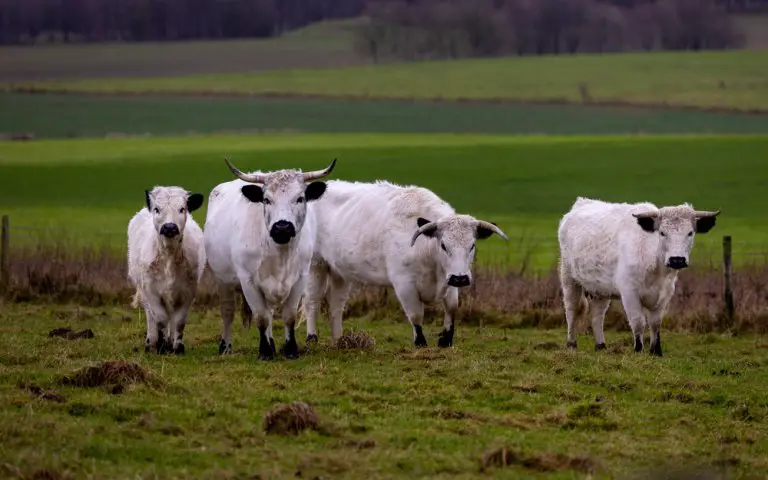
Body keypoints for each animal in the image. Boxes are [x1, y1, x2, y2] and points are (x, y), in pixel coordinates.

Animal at [127, 186, 206, 354]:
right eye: (157, 209)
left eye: (182, 209)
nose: (169, 227)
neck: (169, 255)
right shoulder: (151, 291)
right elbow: (160, 318)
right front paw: (161, 346)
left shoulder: (188, 292)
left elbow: (179, 321)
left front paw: (177, 347)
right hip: (143, 290)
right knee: (151, 316)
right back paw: (151, 343)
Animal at [204, 157, 336, 360]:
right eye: (266, 200)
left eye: (300, 198)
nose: (282, 227)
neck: (279, 255)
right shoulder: (248, 281)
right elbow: (261, 317)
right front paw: (265, 352)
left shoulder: (300, 278)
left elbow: (288, 315)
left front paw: (290, 350)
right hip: (222, 280)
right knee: (228, 312)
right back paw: (225, 347)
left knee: (270, 311)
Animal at [302, 180, 508, 349]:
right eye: (443, 245)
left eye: (472, 245)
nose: (461, 278)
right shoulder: (404, 284)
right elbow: (416, 314)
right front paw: (420, 343)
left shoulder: (449, 280)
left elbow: (452, 308)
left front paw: (446, 340)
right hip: (315, 266)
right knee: (312, 301)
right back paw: (312, 338)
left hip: (340, 272)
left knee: (336, 305)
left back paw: (339, 340)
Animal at [557, 197, 720, 356]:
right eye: (662, 233)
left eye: (690, 233)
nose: (677, 260)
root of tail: (582, 202)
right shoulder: (629, 292)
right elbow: (638, 322)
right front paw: (638, 350)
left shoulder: (665, 294)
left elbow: (655, 323)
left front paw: (656, 351)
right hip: (569, 279)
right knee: (572, 311)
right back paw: (571, 344)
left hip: (600, 288)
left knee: (598, 314)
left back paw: (601, 346)